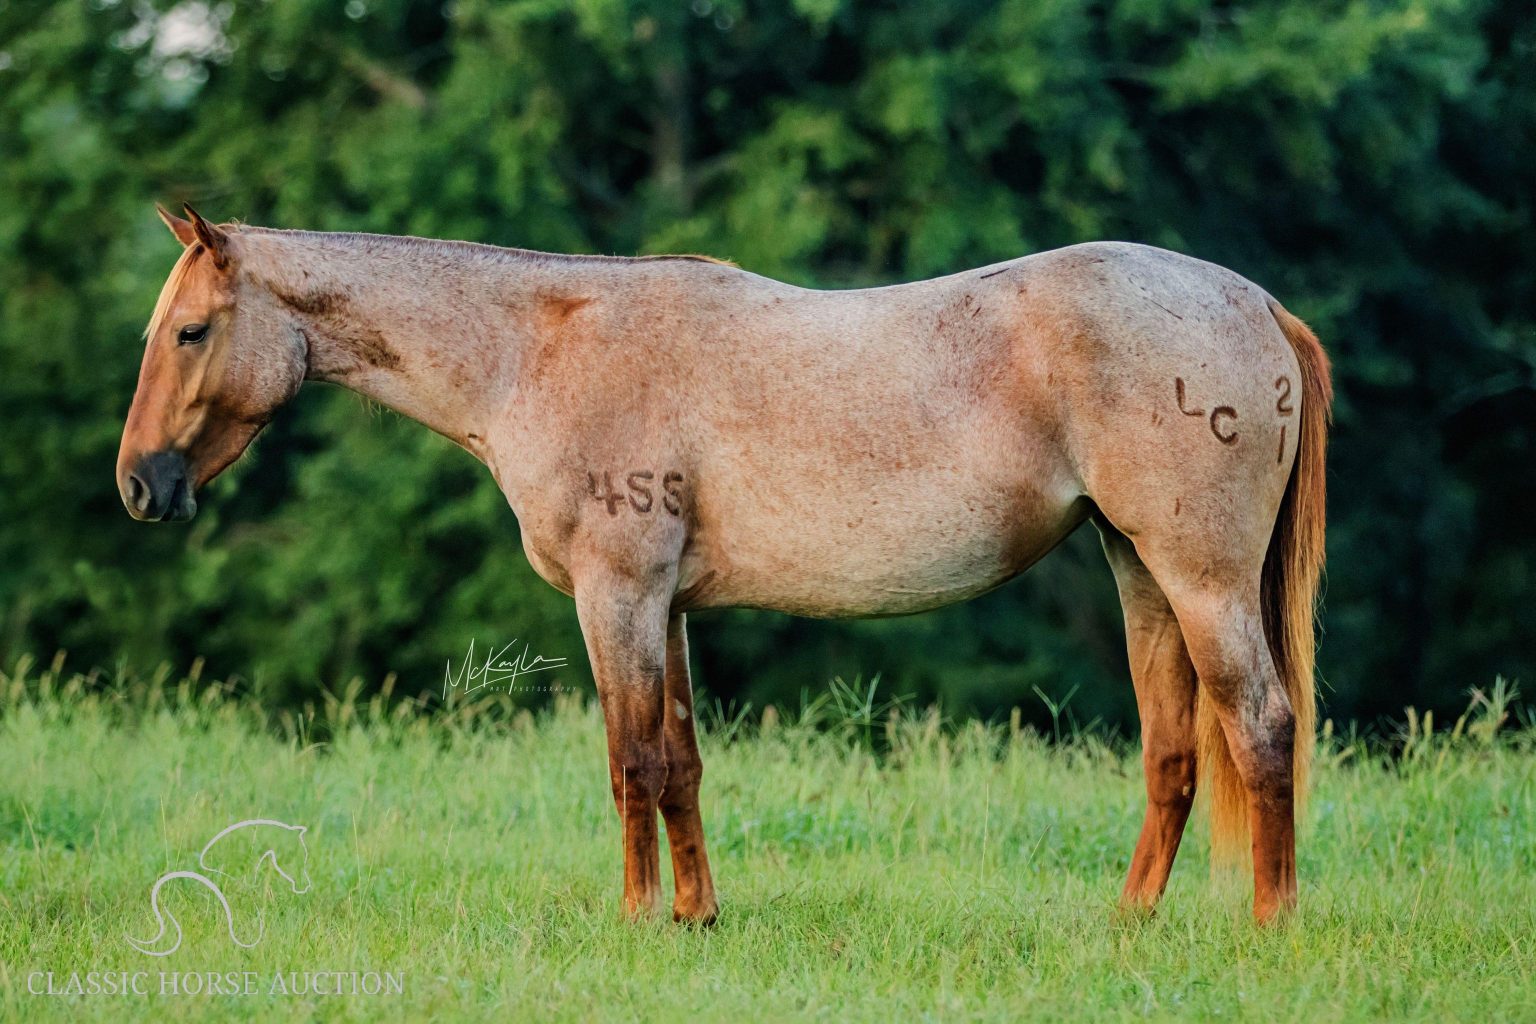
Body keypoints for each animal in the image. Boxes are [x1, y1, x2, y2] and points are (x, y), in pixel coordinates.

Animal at [119, 205, 1330, 925]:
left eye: (189, 332)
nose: (139, 485)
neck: (543, 346)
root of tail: (1257, 303)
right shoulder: (668, 608)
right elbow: (682, 762)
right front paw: (697, 916)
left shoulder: (617, 597)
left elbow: (630, 764)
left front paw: (636, 920)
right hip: (1142, 574)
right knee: (1174, 752)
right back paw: (1129, 923)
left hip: (1201, 581)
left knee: (1263, 728)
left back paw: (1270, 925)